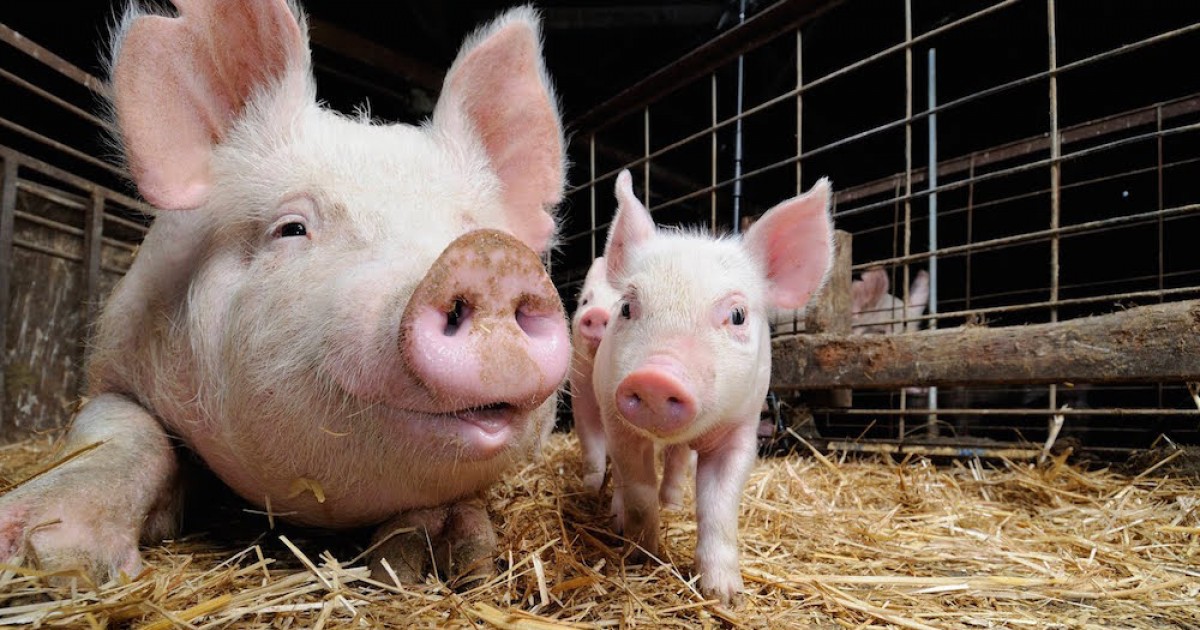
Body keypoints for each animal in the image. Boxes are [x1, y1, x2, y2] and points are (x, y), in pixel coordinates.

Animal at [0, 1, 569, 587]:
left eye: (475, 227)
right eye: (292, 228)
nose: (490, 256)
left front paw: (438, 557)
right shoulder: (112, 363)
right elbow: (123, 427)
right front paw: (52, 558)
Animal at [592, 170, 833, 604]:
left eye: (737, 315)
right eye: (627, 308)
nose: (655, 377)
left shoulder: (742, 430)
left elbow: (719, 505)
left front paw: (725, 595)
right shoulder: (617, 421)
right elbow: (636, 489)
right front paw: (640, 553)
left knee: (675, 462)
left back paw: (673, 504)